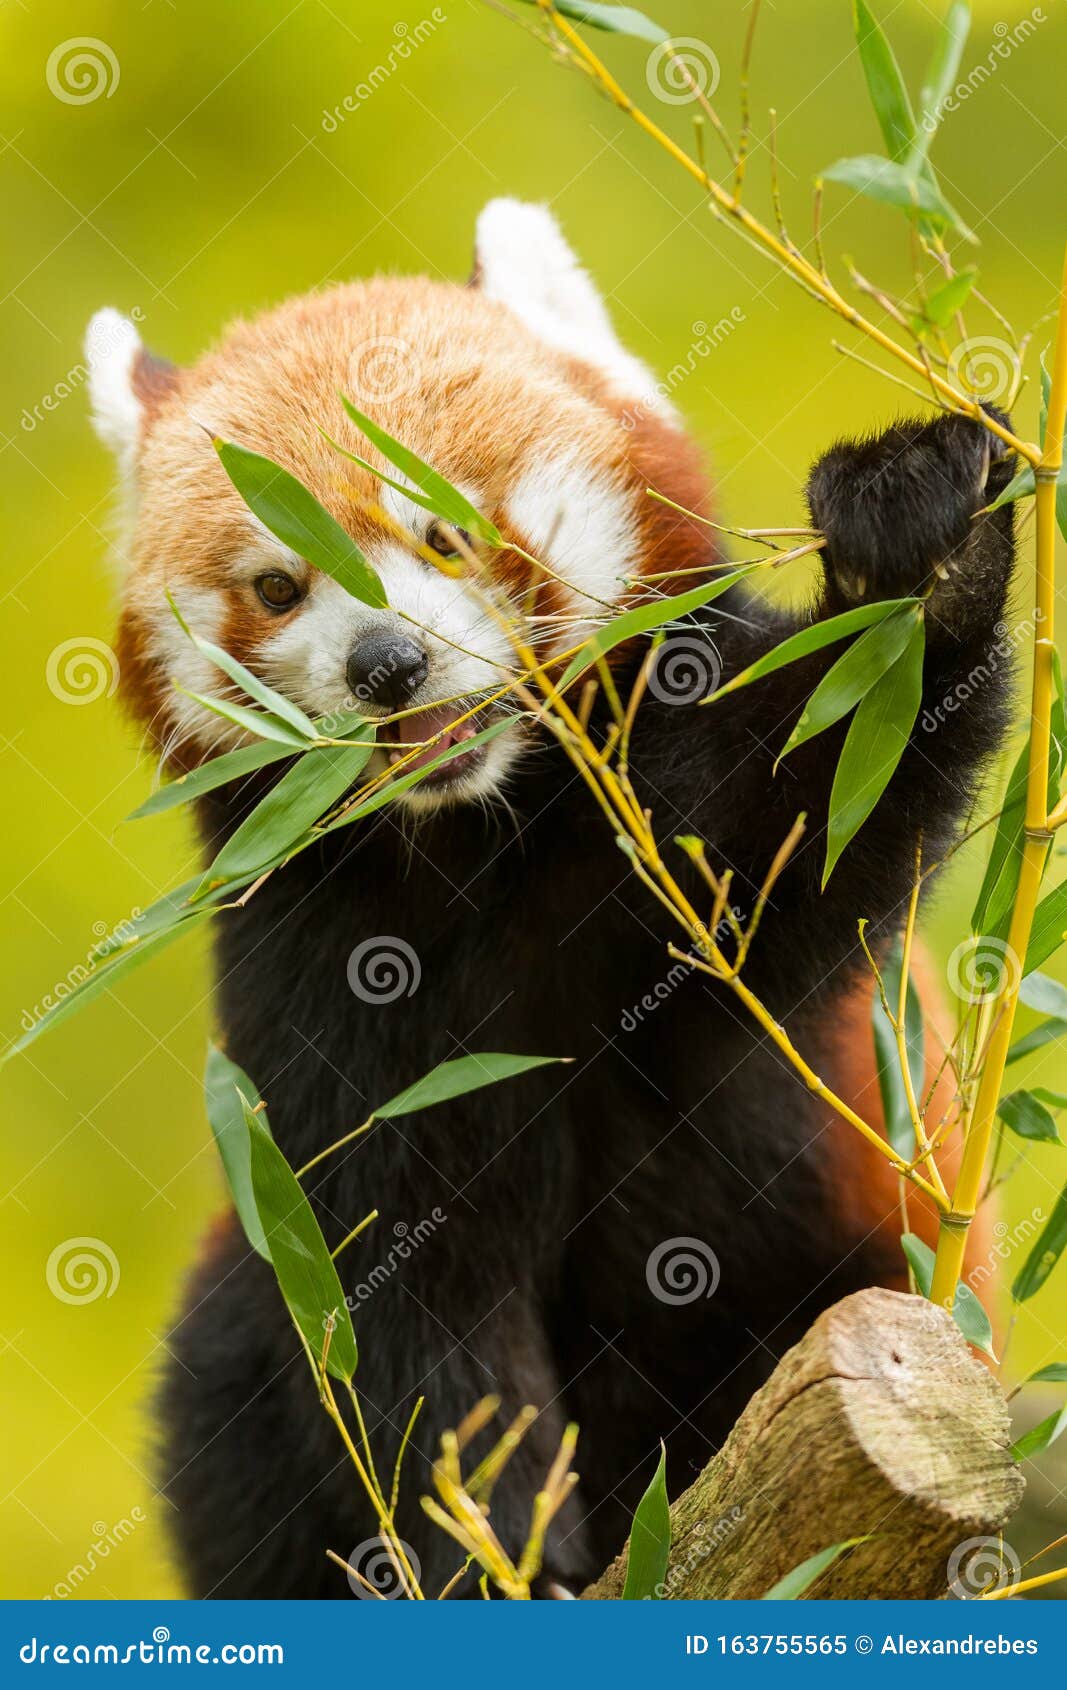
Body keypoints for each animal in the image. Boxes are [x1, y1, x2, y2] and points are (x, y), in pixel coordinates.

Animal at [86, 198, 1013, 1599]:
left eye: (442, 529)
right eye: (278, 585)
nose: (386, 663)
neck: (483, 832)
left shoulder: (687, 850)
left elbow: (817, 794)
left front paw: (917, 548)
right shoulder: (326, 966)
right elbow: (405, 1296)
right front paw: (498, 1551)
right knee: (233, 1370)